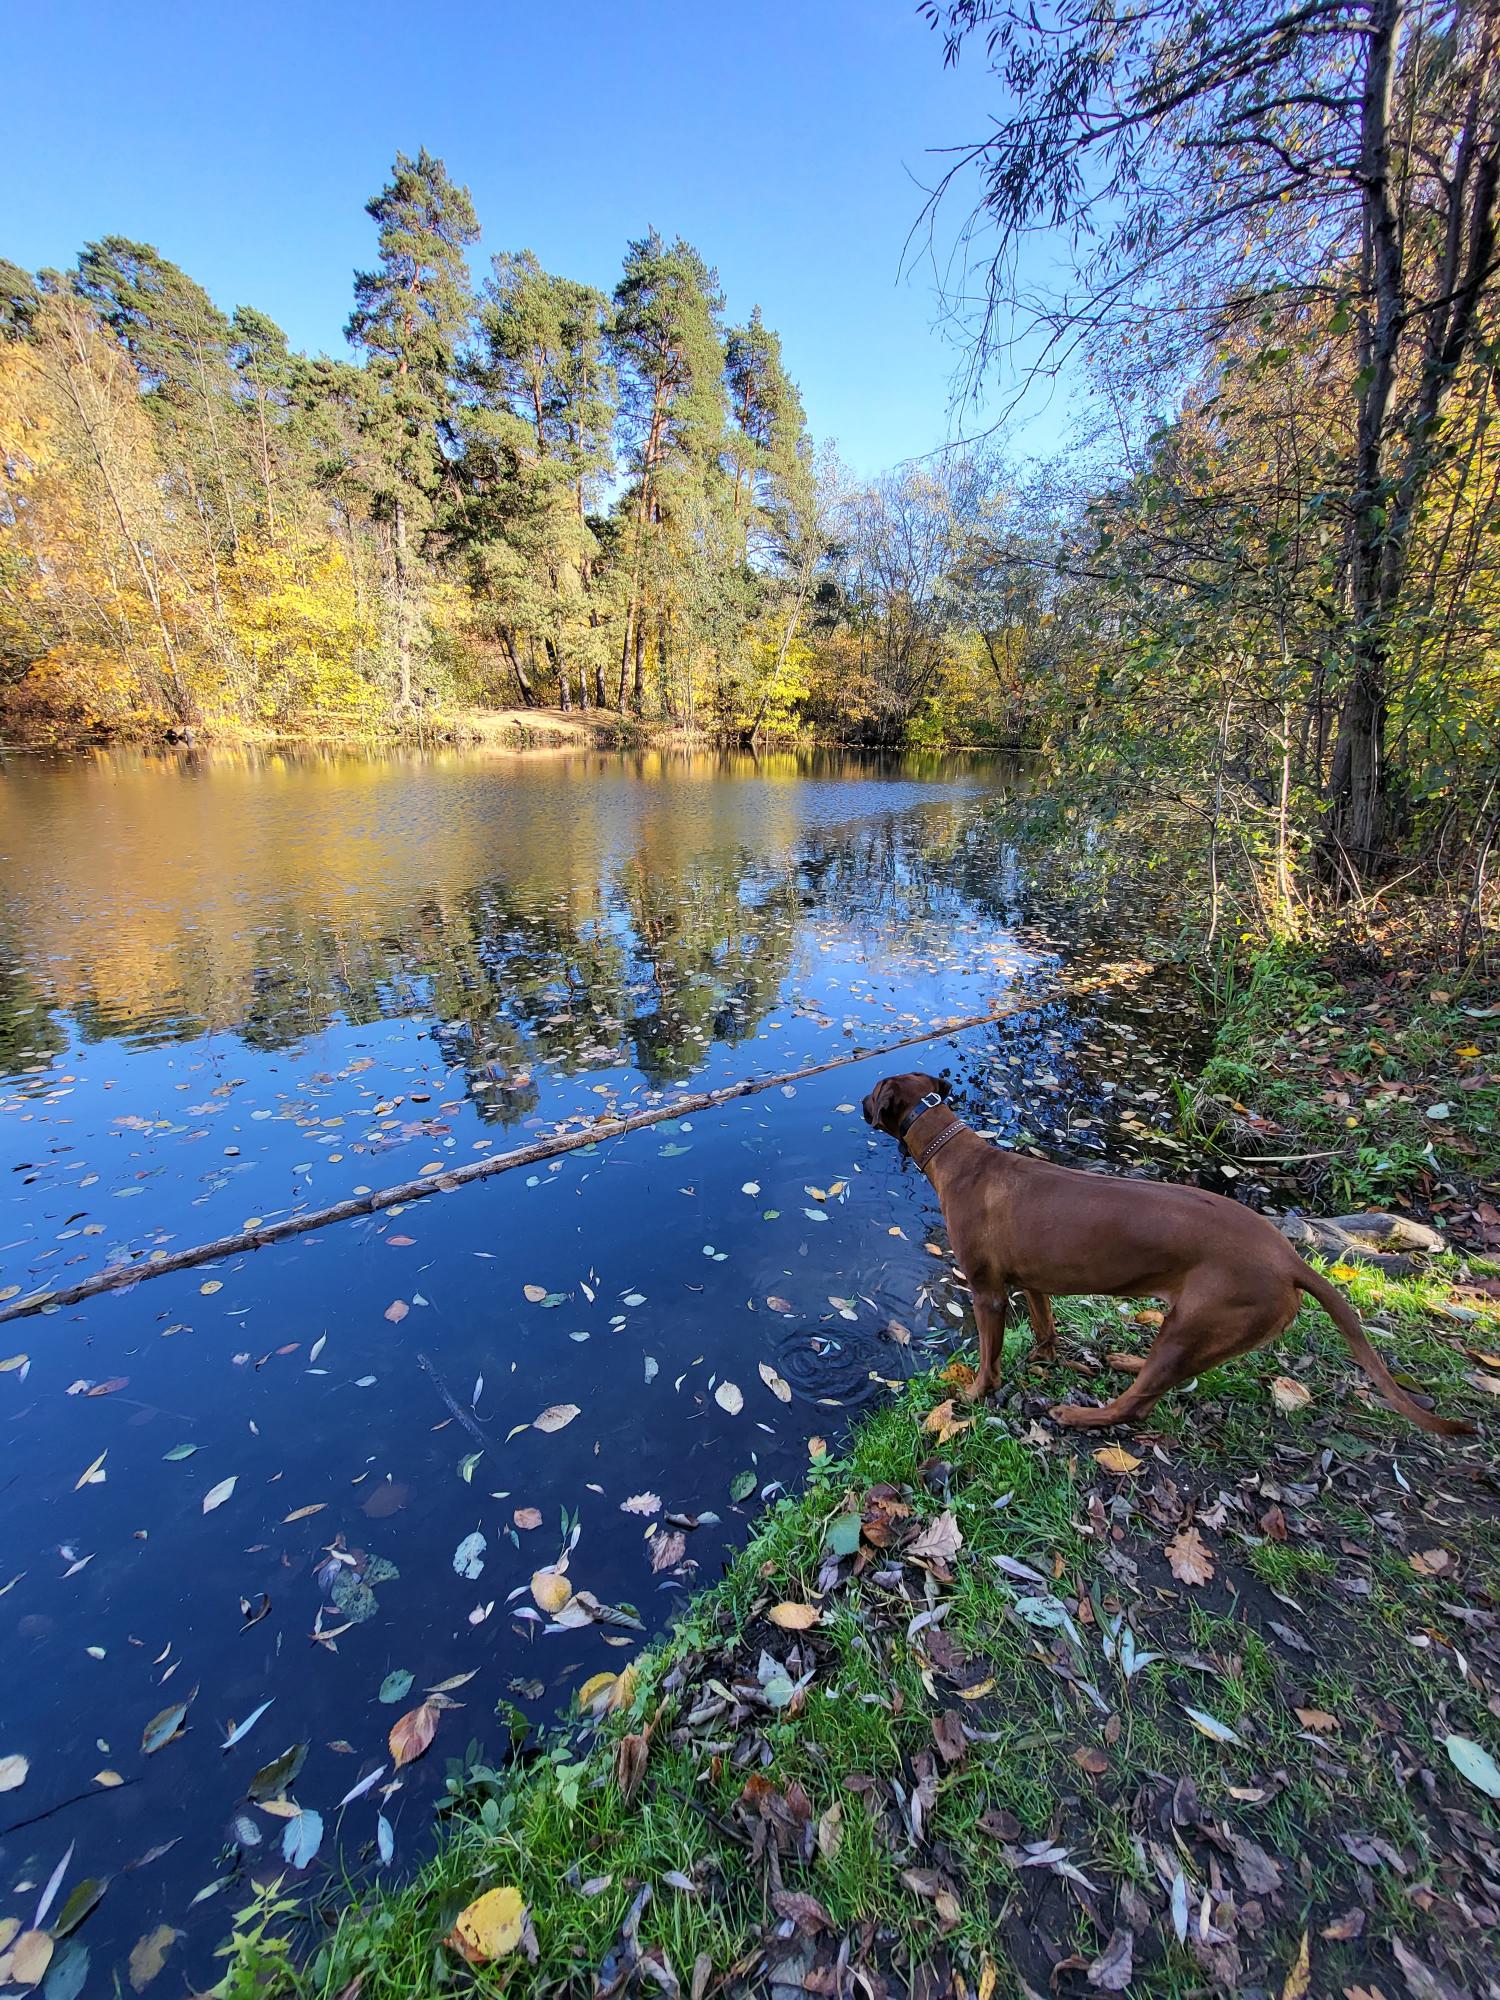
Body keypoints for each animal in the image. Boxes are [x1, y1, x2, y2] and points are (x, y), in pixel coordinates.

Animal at [864, 1072, 1472, 1432]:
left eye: (872, 1093)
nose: (858, 1101)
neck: (957, 1153)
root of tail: (1291, 1258)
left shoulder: (987, 1292)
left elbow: (989, 1361)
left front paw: (972, 1396)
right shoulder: (1034, 1280)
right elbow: (1045, 1326)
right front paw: (1043, 1357)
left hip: (1198, 1322)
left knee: (1138, 1402)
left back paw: (1080, 1414)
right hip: (1196, 1329)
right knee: (1156, 1382)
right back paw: (1126, 1362)